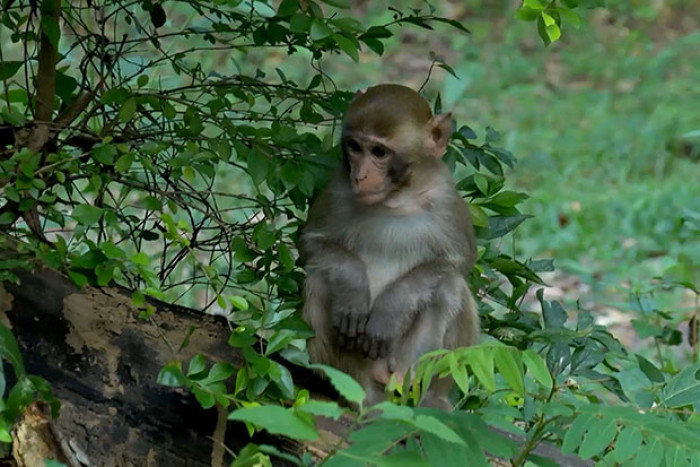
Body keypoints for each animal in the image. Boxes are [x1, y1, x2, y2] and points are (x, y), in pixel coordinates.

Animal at [299, 84, 479, 409]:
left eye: (379, 152)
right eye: (355, 147)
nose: (360, 175)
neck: (397, 198)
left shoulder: (446, 198)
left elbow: (458, 262)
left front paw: (392, 307)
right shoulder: (338, 187)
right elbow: (313, 243)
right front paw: (353, 286)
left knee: (450, 286)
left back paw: (425, 394)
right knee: (318, 277)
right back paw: (362, 398)